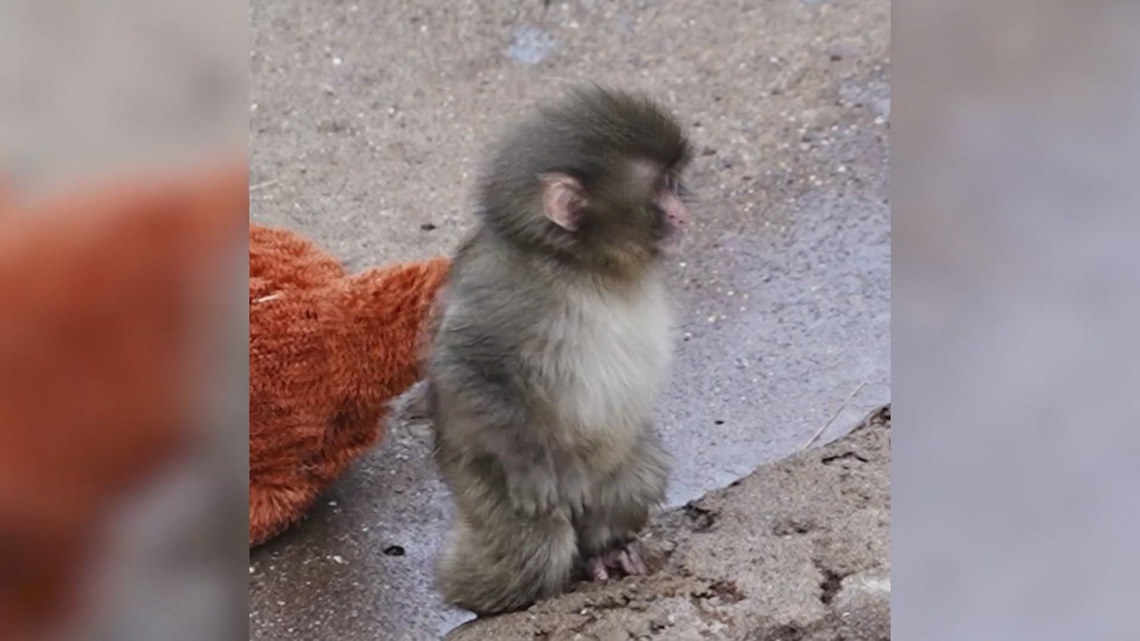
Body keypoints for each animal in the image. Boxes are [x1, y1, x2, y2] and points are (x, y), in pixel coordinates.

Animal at [425, 86, 693, 615]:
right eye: (662, 191)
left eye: (676, 184)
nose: (682, 214)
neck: (582, 265)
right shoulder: (508, 289)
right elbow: (466, 363)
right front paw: (532, 463)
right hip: (475, 480)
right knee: (533, 548)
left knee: (637, 475)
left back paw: (604, 550)